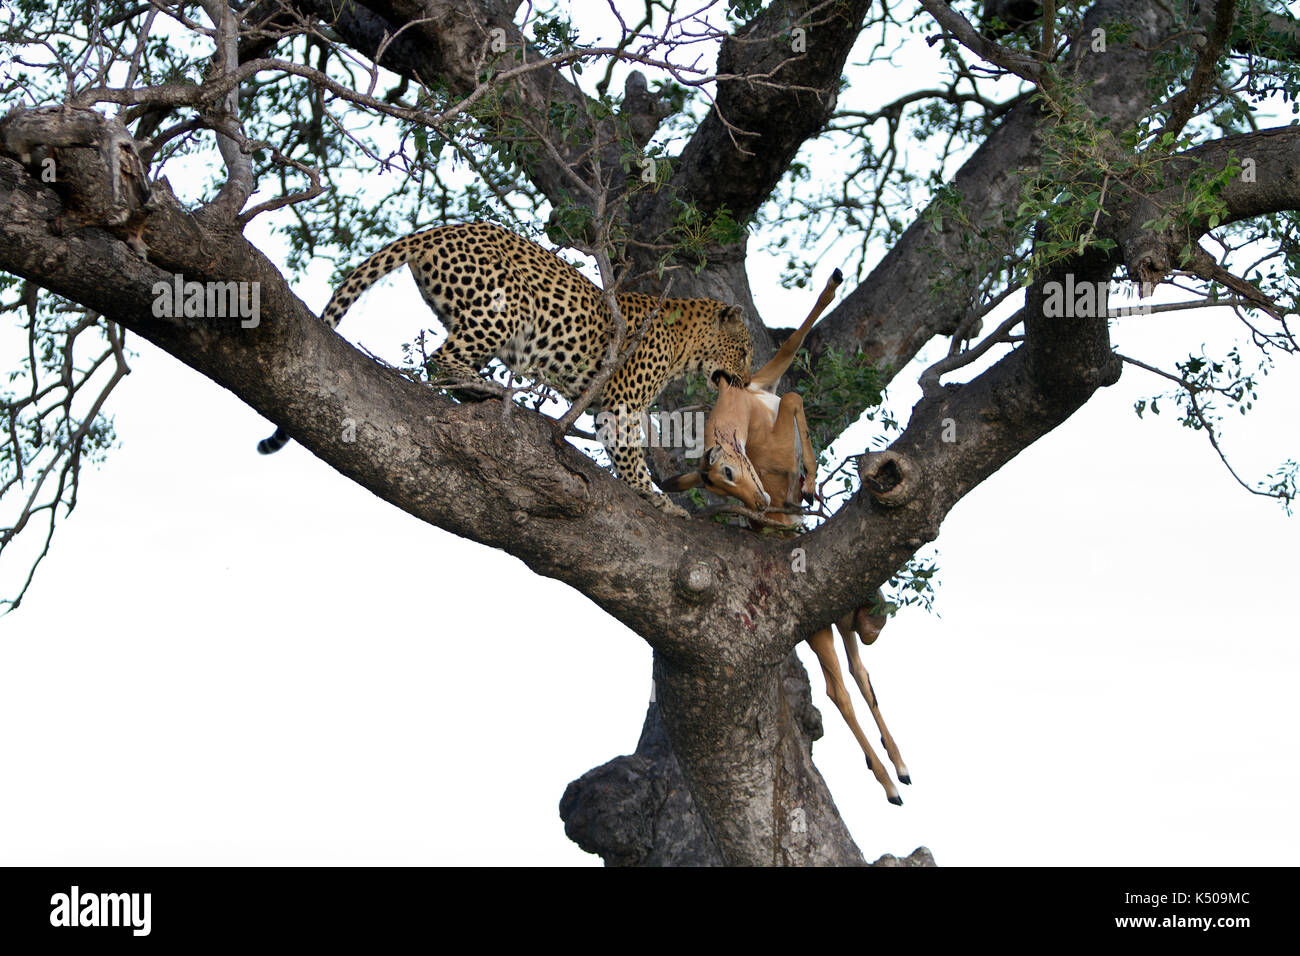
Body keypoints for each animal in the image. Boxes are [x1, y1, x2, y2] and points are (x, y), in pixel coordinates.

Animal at [257, 222, 753, 514]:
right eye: (747, 350)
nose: (748, 381)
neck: (686, 341)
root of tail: (439, 230)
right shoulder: (622, 405)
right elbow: (630, 457)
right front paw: (655, 498)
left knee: (449, 359)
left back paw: (479, 390)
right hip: (505, 307)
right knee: (440, 360)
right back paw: (491, 391)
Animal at [664, 270, 911, 804]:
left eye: (728, 472)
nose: (759, 506)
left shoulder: (766, 381)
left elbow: (793, 342)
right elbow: (797, 398)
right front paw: (811, 479)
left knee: (859, 683)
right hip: (821, 628)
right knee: (839, 692)